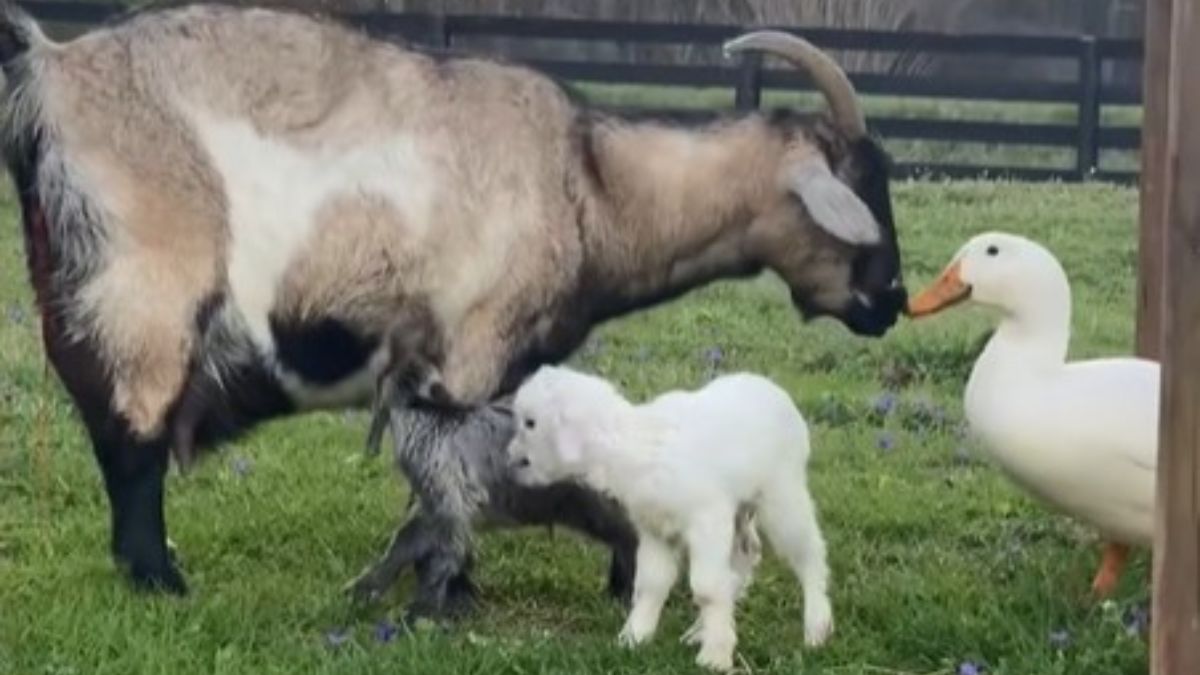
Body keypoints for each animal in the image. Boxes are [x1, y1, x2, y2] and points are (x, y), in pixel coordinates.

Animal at [0, 0, 906, 609]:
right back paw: (160, 579)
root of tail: (52, 73)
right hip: (145, 290)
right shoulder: (471, 353)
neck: (594, 185)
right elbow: (450, 471)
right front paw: (454, 587)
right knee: (132, 442)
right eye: (860, 190)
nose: (891, 301)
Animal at [505, 365, 831, 671]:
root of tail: (774, 389)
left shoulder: (707, 520)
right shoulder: (655, 531)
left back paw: (817, 627)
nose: (509, 459)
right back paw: (701, 630)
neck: (632, 445)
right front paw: (634, 638)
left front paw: (715, 657)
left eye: (530, 423)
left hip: (782, 493)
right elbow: (651, 583)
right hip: (741, 508)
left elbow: (706, 587)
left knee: (808, 553)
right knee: (746, 556)